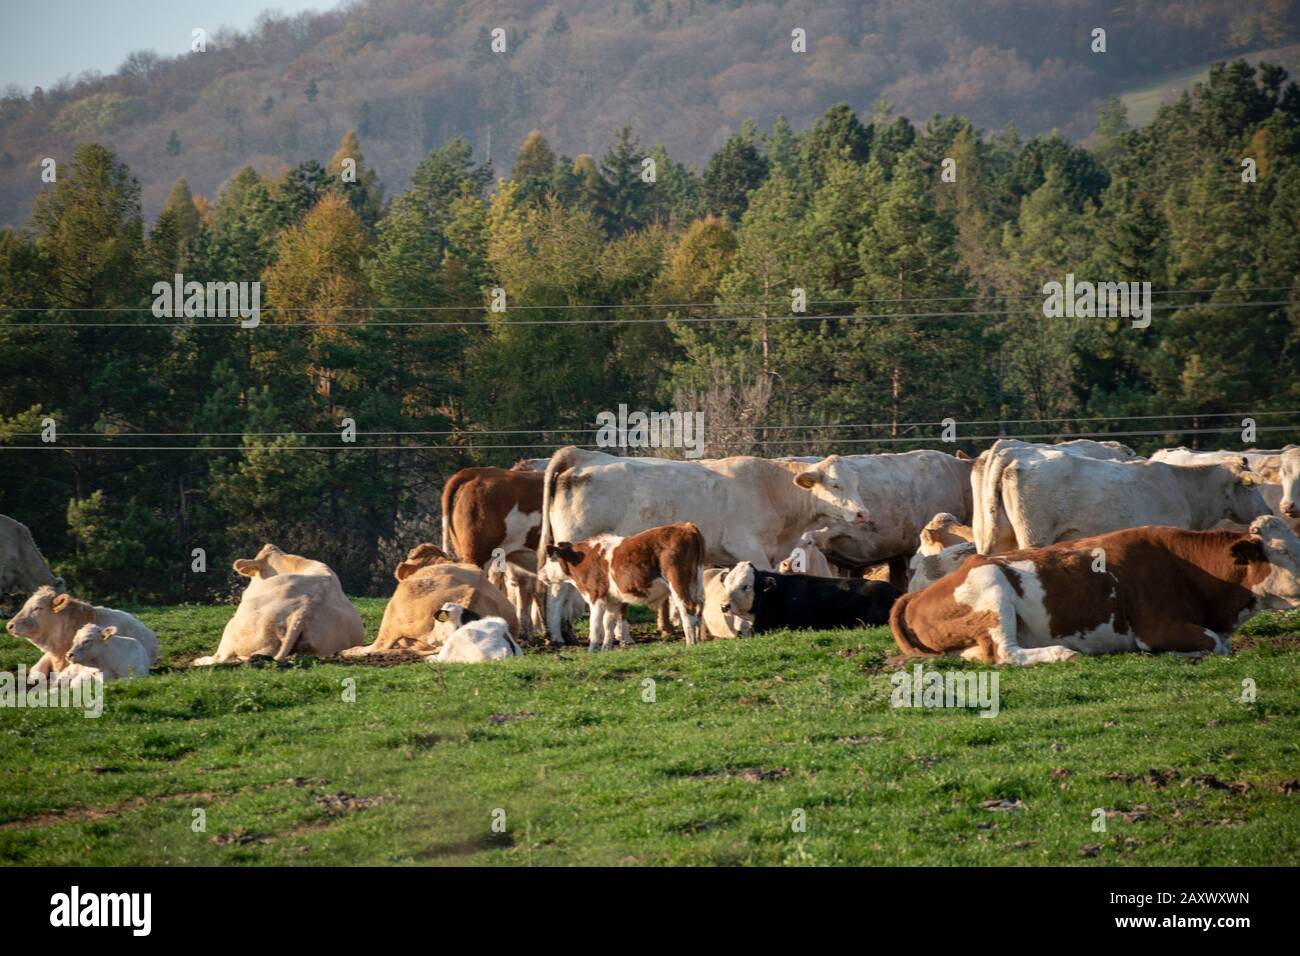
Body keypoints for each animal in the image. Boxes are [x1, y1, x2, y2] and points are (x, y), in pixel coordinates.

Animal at [543, 522, 705, 651]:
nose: (541, 574)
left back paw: (690, 643)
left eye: (549, 560)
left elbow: (595, 625)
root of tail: (686, 526)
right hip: (696, 583)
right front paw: (606, 648)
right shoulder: (613, 599)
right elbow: (608, 623)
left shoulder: (596, 597)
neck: (585, 559)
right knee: (699, 607)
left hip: (678, 583)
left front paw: (592, 650)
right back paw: (697, 641)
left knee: (687, 608)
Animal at [890, 516, 1300, 665]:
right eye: (1282, 551)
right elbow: (1214, 644)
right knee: (1006, 653)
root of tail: (917, 594)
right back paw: (1062, 653)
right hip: (992, 586)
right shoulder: (1157, 629)